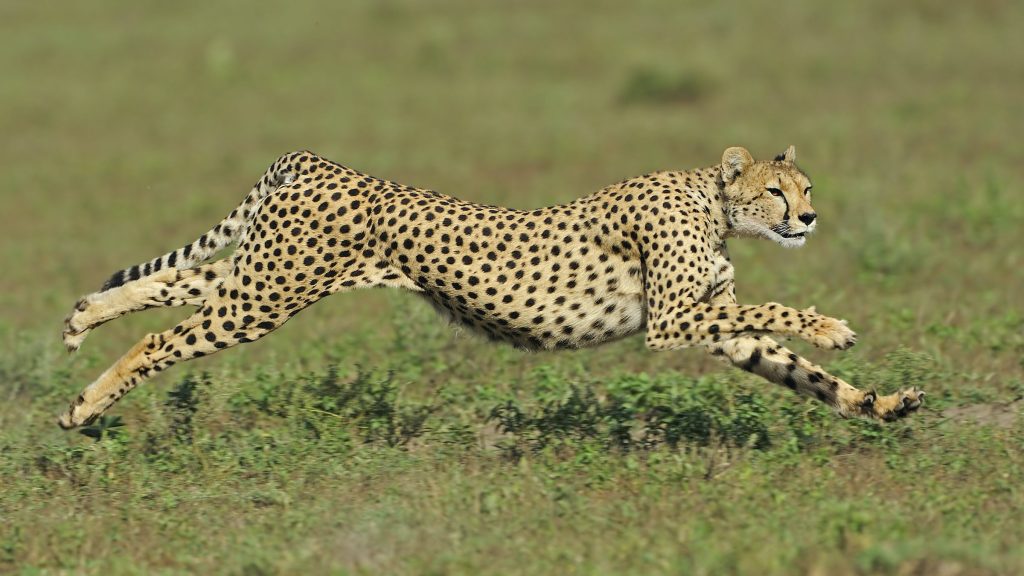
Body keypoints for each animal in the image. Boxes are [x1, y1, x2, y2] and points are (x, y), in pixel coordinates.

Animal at [58, 145, 924, 429]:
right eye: (778, 192)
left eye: (805, 188)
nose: (809, 217)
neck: (713, 203)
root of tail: (316, 161)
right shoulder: (672, 321)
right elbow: (776, 312)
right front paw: (831, 326)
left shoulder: (713, 326)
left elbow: (798, 371)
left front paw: (882, 404)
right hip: (267, 294)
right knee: (163, 336)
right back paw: (84, 409)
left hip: (262, 274)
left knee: (171, 283)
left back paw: (79, 322)